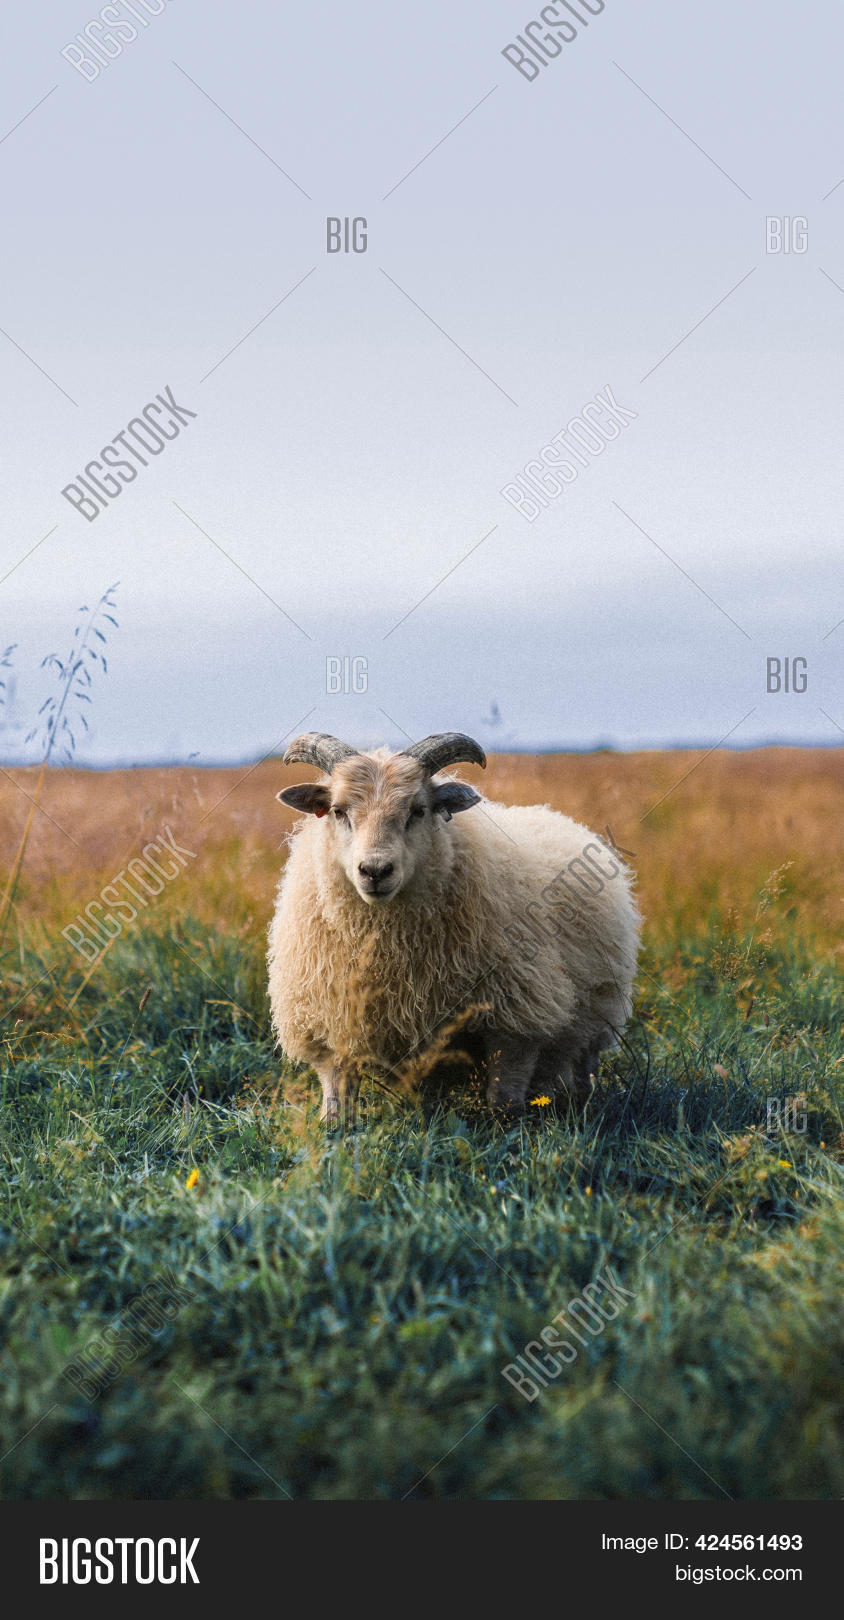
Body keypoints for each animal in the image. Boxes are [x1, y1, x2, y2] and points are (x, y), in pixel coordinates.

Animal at [267, 732, 640, 1125]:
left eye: (418, 810)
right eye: (338, 811)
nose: (375, 871)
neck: (386, 943)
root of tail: (554, 815)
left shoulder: (517, 1015)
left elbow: (504, 1096)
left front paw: (507, 1129)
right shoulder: (331, 1017)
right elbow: (337, 1090)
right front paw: (334, 1126)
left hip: (598, 1012)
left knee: (584, 1063)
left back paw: (583, 1104)